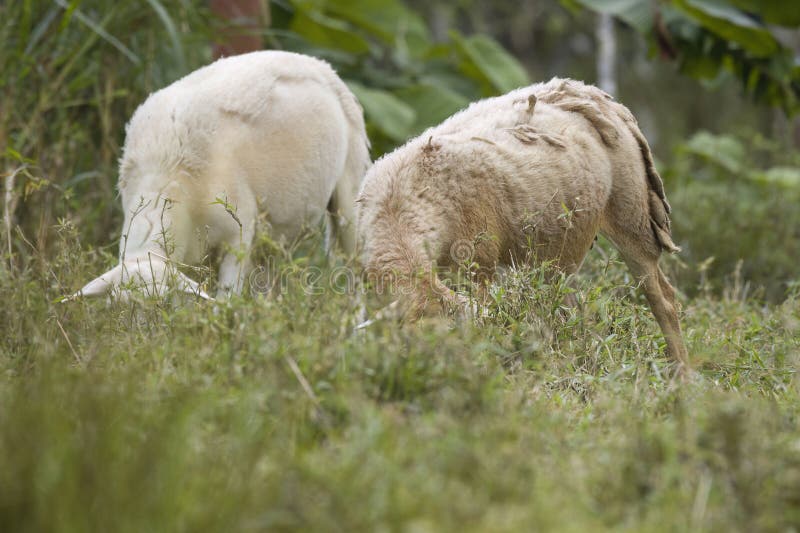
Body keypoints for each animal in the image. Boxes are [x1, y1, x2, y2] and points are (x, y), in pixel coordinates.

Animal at [70, 50, 370, 301]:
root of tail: (316, 62)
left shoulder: (238, 236)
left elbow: (225, 301)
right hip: (273, 235)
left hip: (351, 195)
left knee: (356, 273)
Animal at [356, 78, 689, 372]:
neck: (399, 208)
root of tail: (592, 93)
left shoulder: (479, 266)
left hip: (631, 212)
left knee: (664, 300)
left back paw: (681, 376)